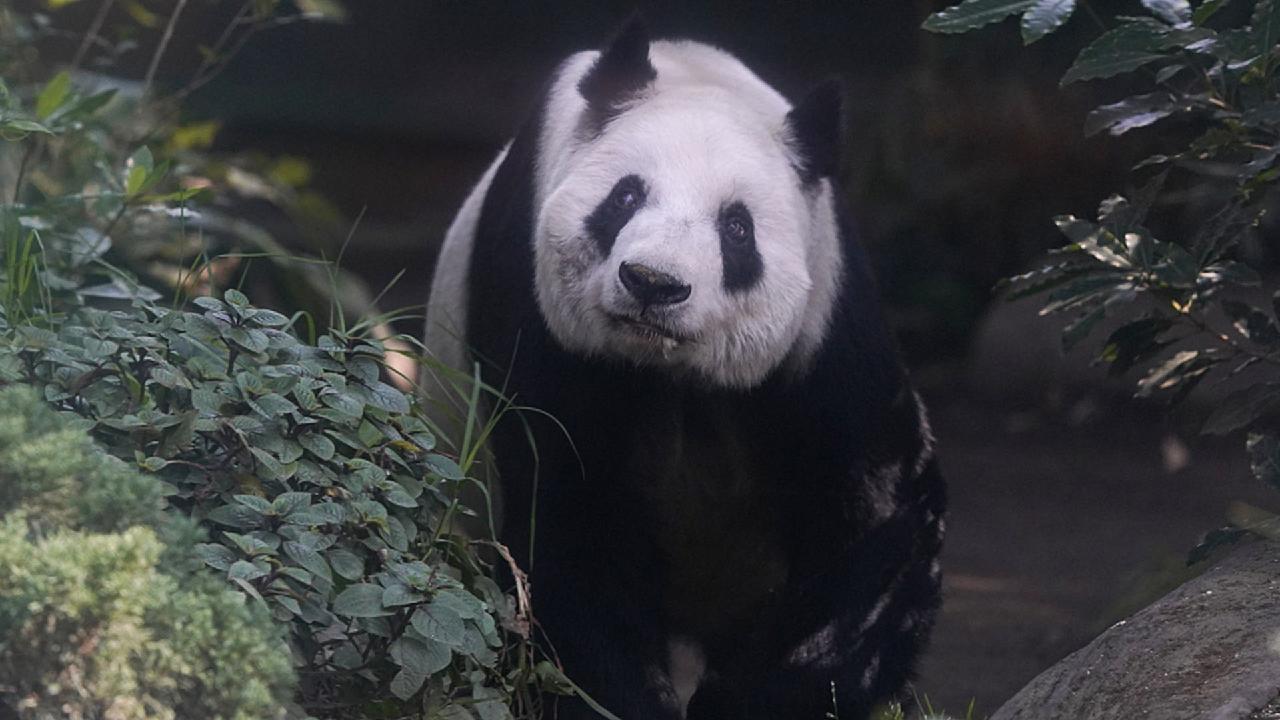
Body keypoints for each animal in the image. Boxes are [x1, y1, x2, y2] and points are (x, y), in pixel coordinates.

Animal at [423, 18, 945, 720]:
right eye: (624, 196)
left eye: (737, 227)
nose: (654, 282)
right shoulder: (534, 306)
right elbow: (572, 513)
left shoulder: (827, 321)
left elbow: (877, 515)